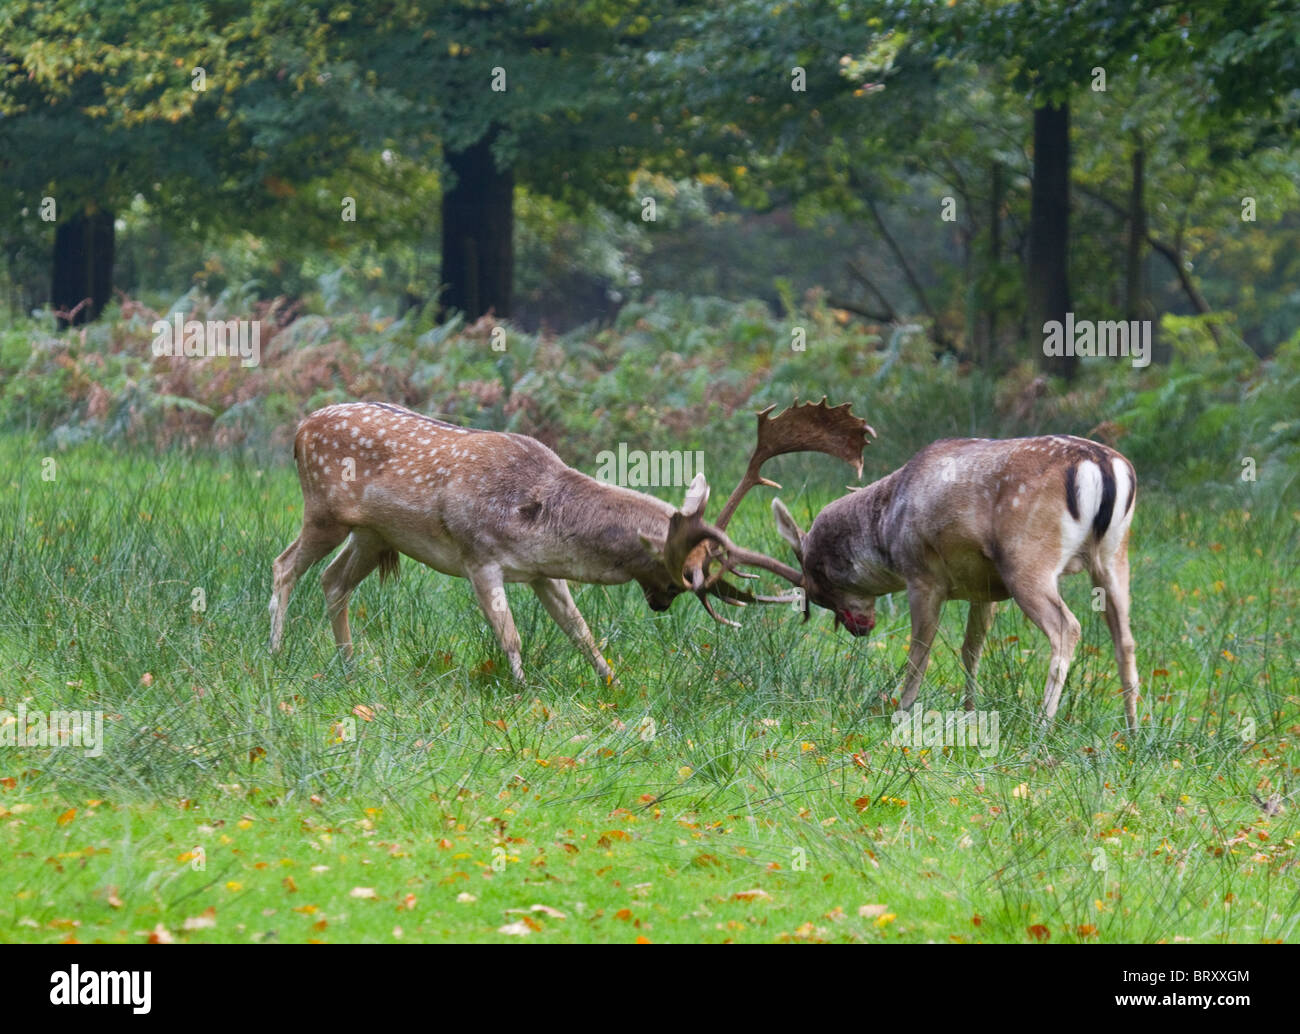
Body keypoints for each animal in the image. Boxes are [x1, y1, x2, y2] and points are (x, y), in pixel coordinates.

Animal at [267, 400, 857, 681]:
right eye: (677, 578)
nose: (660, 604)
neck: (539, 517)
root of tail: (297, 431)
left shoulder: (541, 571)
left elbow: (580, 630)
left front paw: (610, 681)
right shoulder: (478, 555)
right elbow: (509, 636)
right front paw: (521, 689)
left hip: (372, 534)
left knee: (333, 581)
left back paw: (349, 665)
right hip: (323, 509)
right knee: (284, 566)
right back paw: (274, 653)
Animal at [669, 412, 1141, 732]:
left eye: (819, 587)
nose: (857, 628)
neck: (885, 528)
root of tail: (1102, 464)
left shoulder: (923, 574)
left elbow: (921, 651)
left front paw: (900, 713)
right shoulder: (984, 588)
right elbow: (970, 650)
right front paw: (970, 713)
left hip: (1028, 558)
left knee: (1067, 627)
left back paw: (1041, 726)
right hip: (1115, 556)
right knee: (1125, 638)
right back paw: (1133, 730)